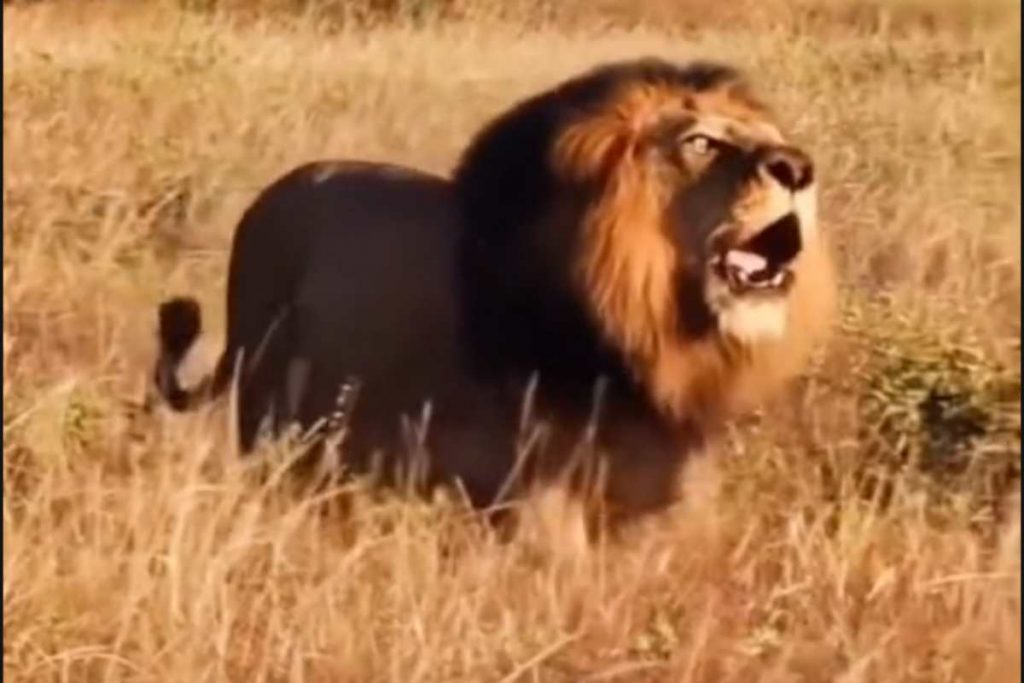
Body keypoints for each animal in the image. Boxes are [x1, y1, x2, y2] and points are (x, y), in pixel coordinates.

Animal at [154, 58, 834, 526]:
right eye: (700, 143)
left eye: (768, 138)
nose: (799, 168)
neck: (654, 326)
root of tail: (264, 201)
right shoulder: (536, 483)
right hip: (267, 413)